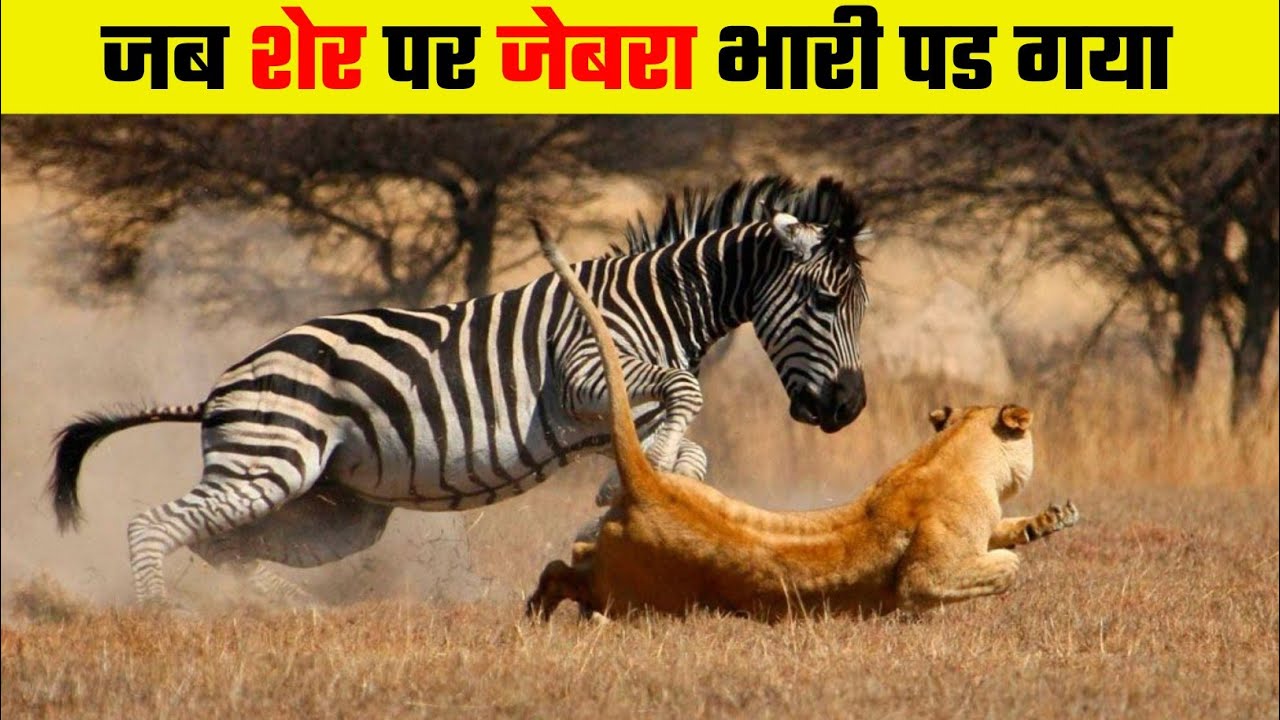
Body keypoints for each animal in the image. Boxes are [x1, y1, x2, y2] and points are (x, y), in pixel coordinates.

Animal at [49, 175, 872, 604]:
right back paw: (166, 618)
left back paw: (256, 611)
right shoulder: (583, 366)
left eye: (859, 308)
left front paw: (628, 494)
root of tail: (219, 390)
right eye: (827, 302)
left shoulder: (605, 412)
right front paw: (632, 488)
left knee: (223, 545)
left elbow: (689, 451)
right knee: (154, 525)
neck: (656, 303)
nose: (849, 408)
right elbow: (684, 391)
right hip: (270, 463)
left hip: (333, 509)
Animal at [526, 220, 1079, 621]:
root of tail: (648, 483)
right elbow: (997, 567)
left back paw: (537, 616)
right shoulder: (925, 575)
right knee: (567, 576)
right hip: (629, 593)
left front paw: (1053, 518)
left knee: (563, 557)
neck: (949, 456)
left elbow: (1008, 531)